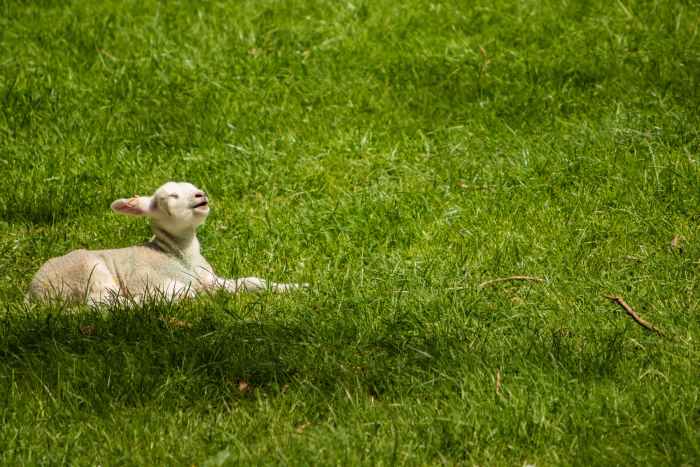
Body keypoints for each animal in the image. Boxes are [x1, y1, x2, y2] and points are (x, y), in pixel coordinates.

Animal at [27, 181, 305, 306]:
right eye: (170, 196)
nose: (201, 195)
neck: (178, 255)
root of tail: (32, 292)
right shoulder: (144, 277)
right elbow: (182, 289)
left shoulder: (211, 278)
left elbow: (253, 282)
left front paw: (298, 287)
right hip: (88, 273)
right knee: (101, 304)